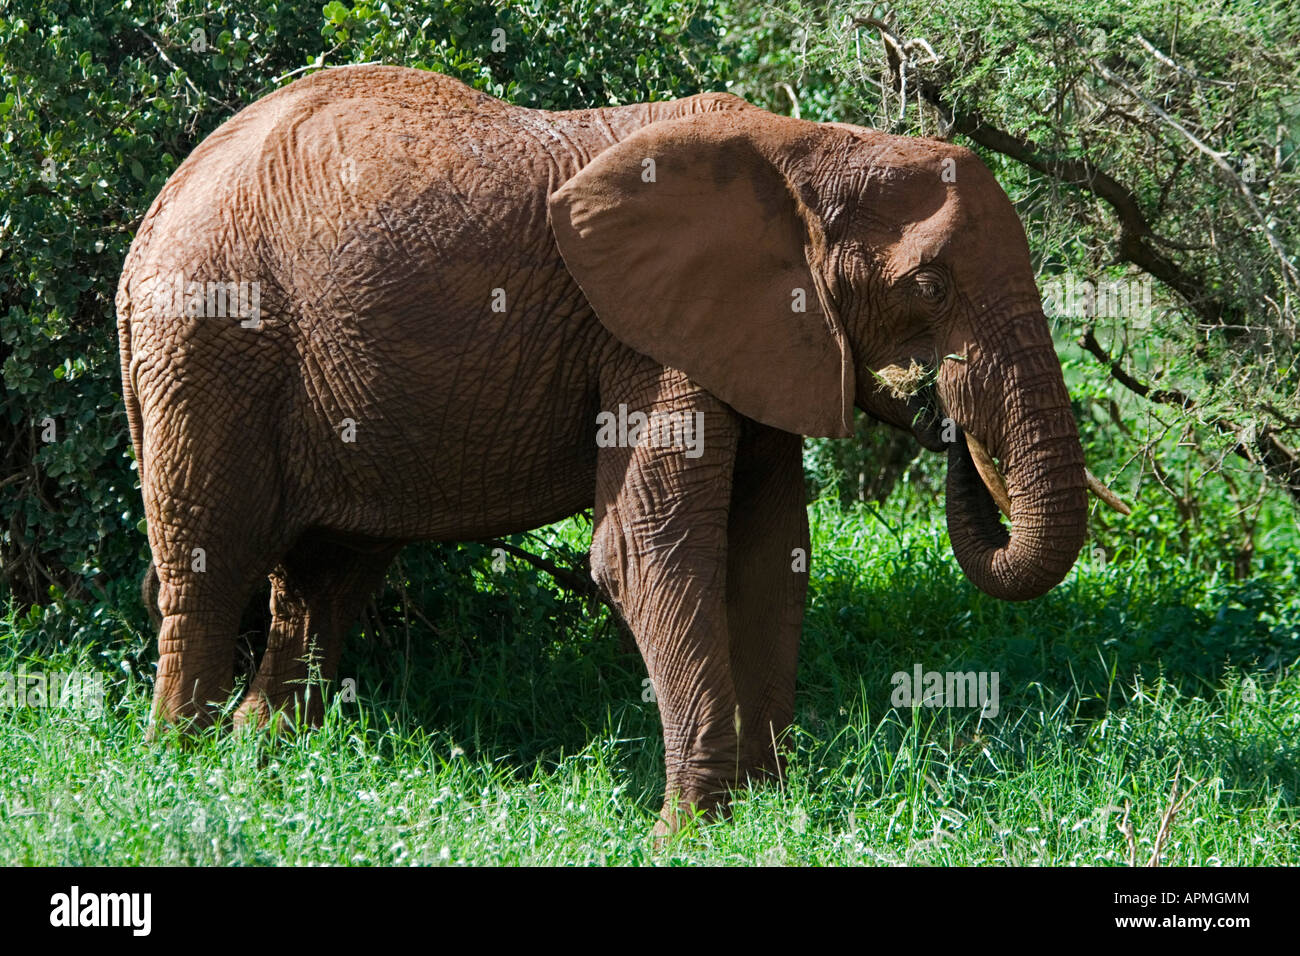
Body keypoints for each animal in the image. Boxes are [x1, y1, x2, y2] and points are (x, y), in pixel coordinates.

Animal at [116, 64, 1123, 830]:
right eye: (930, 284)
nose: (938, 412)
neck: (807, 147)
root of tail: (156, 211)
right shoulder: (649, 338)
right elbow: (647, 550)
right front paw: (690, 832)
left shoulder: (751, 330)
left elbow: (773, 551)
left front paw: (765, 812)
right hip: (208, 336)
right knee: (212, 559)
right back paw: (178, 768)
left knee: (328, 573)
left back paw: (261, 758)